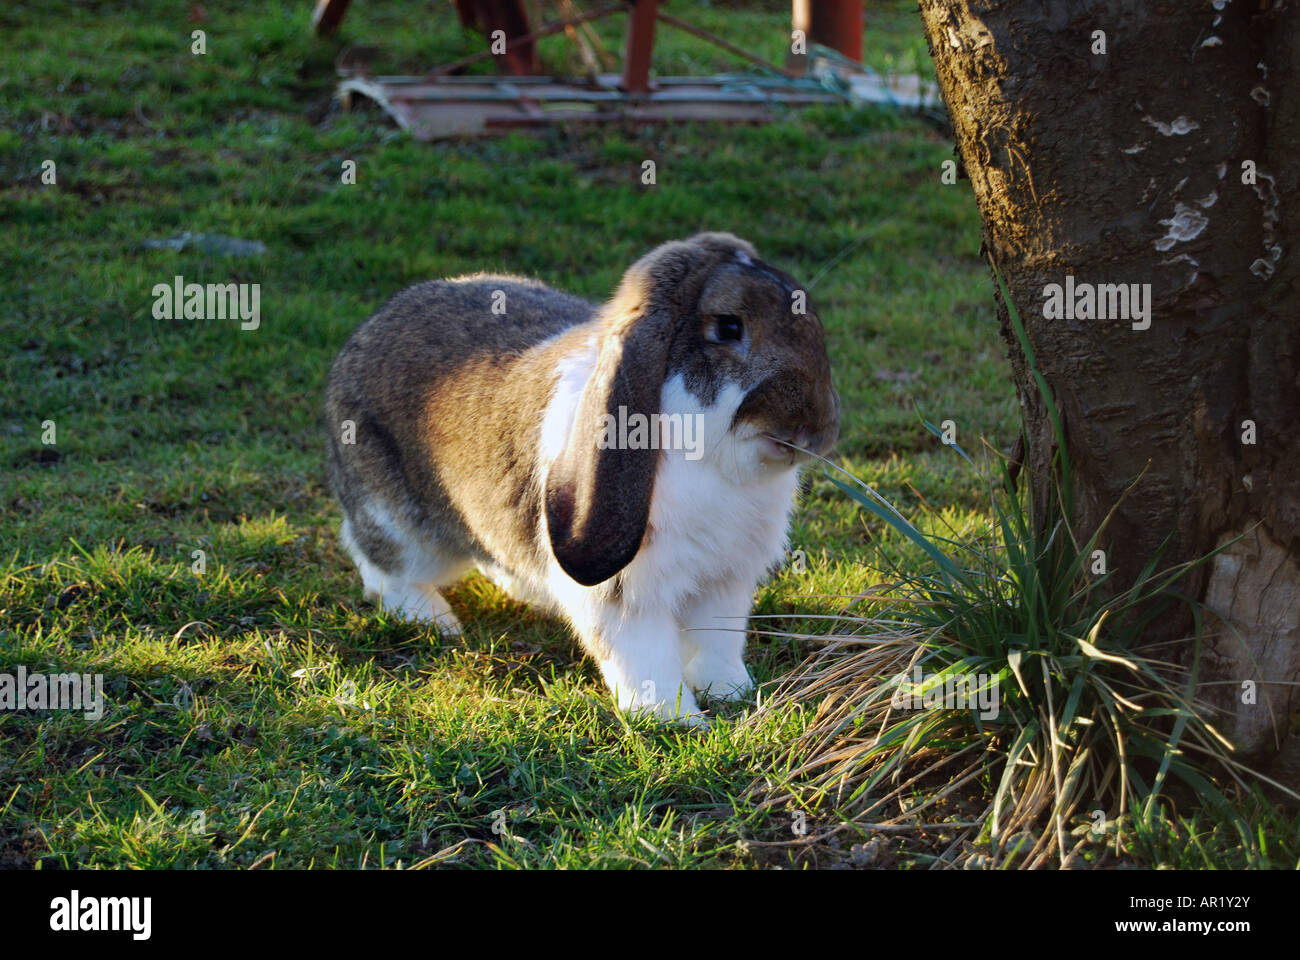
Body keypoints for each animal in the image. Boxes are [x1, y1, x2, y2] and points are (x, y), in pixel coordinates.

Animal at [325, 232, 839, 726]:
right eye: (729, 327)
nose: (814, 430)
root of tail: (367, 332)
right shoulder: (626, 596)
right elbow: (647, 659)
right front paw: (676, 719)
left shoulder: (724, 583)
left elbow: (719, 646)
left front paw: (734, 693)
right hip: (397, 521)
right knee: (381, 566)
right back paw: (434, 619)